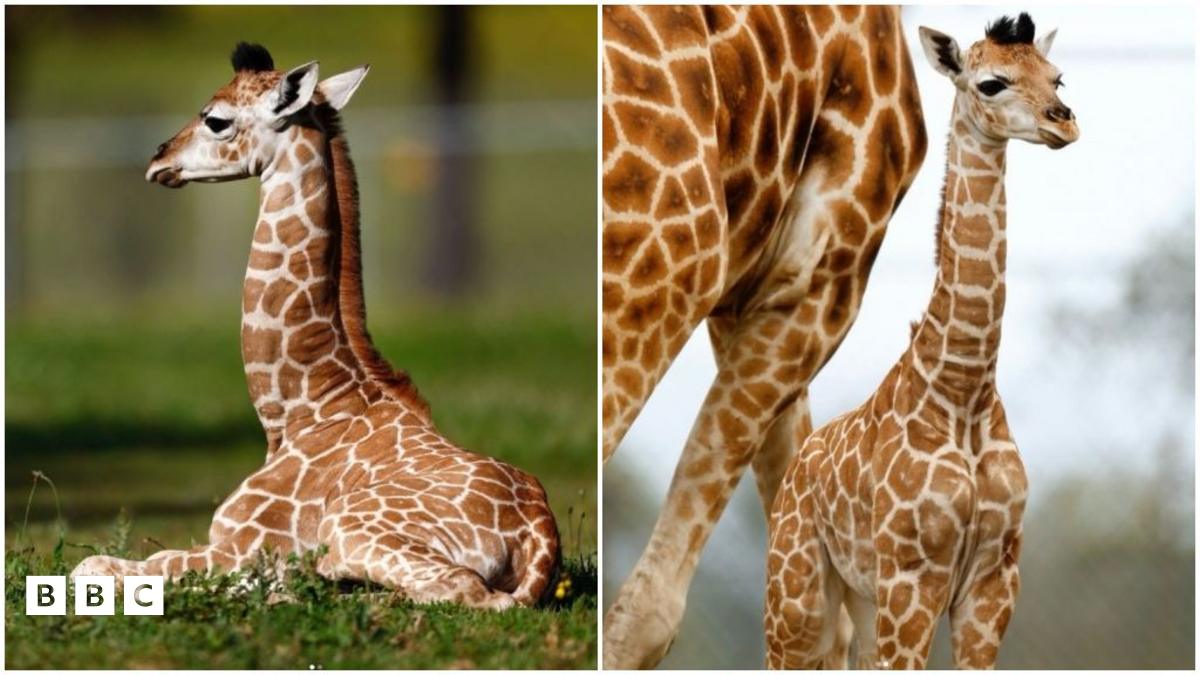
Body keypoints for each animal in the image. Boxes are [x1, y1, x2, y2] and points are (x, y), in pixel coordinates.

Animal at [69, 43, 560, 611]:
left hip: (354, 532)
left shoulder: (236, 545)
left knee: (463, 591)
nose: (159, 159)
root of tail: (540, 537)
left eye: (216, 119)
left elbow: (96, 565)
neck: (301, 408)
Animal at [764, 13, 1078, 668]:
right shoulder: (913, 575)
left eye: (1057, 76)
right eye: (991, 83)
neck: (963, 385)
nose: (1064, 120)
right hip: (797, 593)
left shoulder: (994, 579)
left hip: (857, 597)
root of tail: (798, 465)